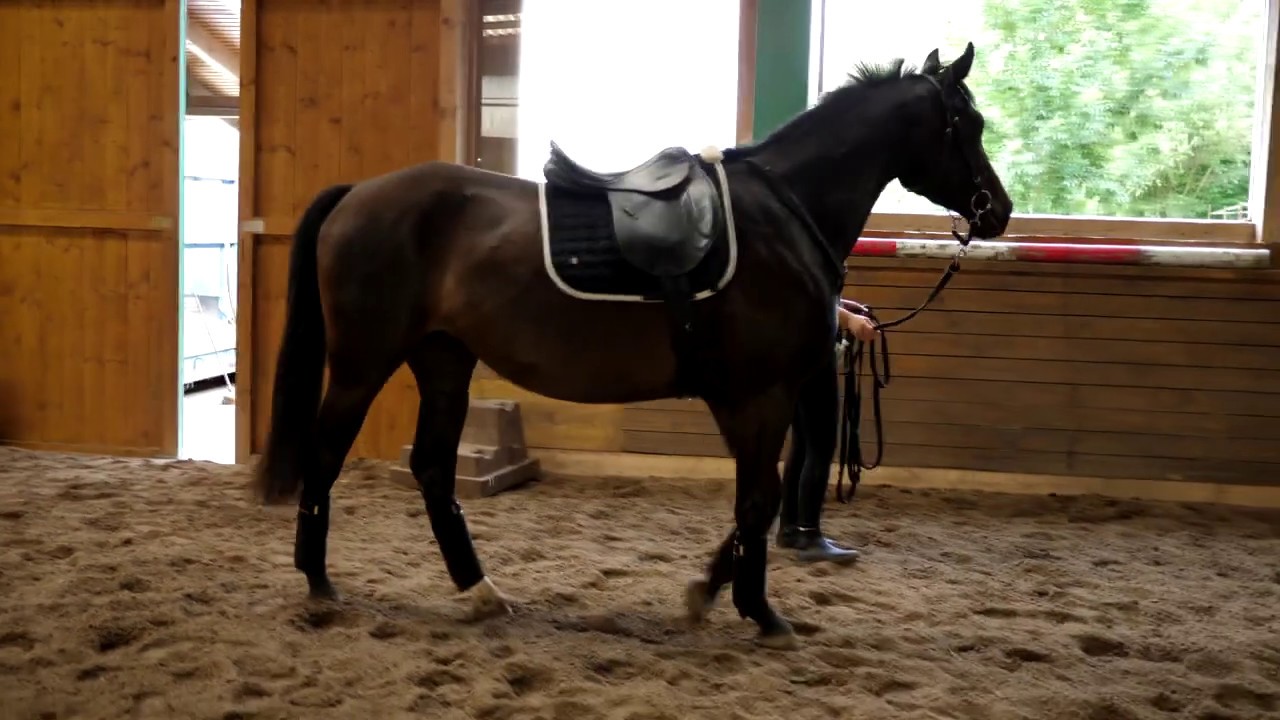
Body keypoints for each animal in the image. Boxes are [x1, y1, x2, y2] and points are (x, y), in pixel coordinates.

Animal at [250, 42, 1011, 651]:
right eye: (968, 124)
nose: (997, 210)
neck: (782, 215)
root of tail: (360, 194)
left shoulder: (755, 401)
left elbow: (755, 503)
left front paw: (712, 594)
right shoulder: (759, 397)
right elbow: (759, 500)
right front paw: (756, 610)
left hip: (444, 360)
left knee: (434, 470)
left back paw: (479, 591)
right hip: (362, 363)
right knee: (325, 457)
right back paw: (318, 581)